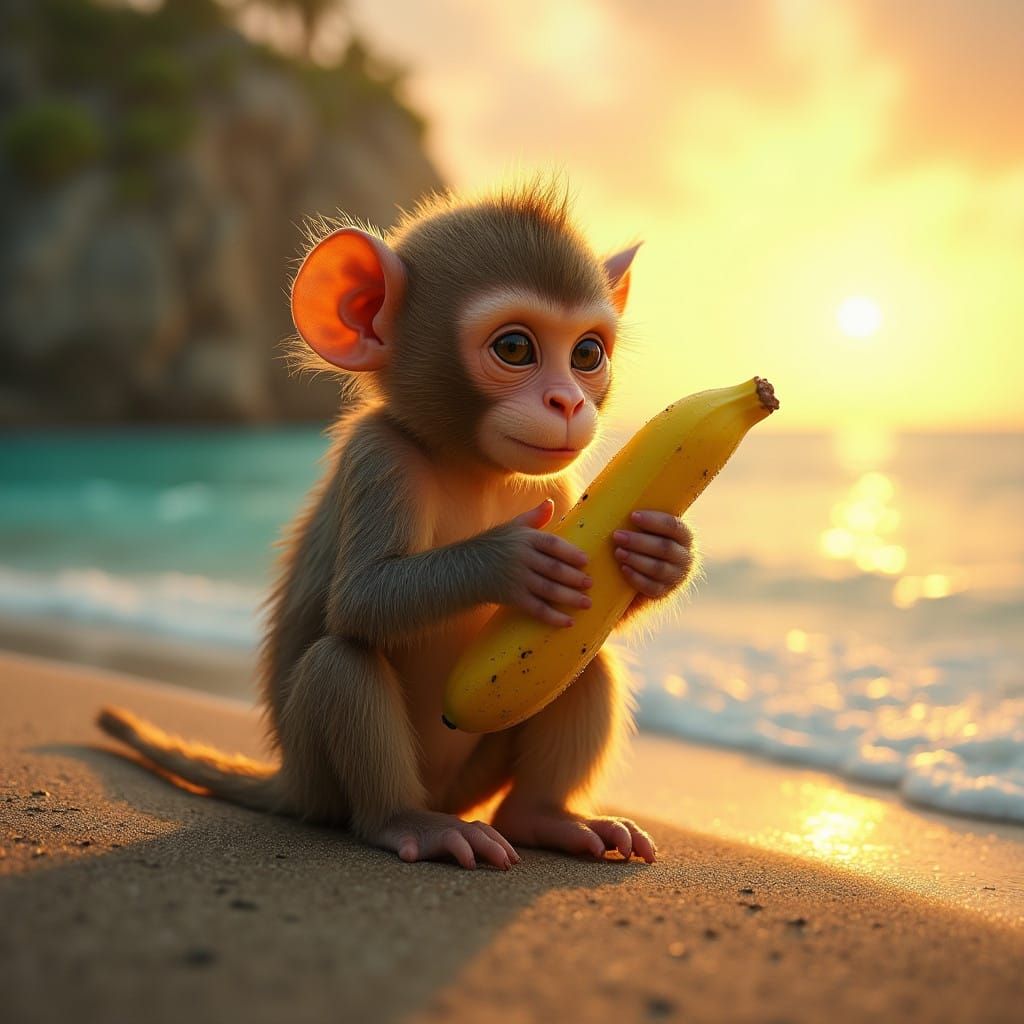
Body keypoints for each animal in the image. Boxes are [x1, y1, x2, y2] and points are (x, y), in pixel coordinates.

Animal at [98, 180, 696, 870]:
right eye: (515, 348)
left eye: (587, 354)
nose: (569, 401)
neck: (475, 469)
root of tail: (290, 781)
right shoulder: (379, 457)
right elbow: (361, 599)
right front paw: (512, 559)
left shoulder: (560, 486)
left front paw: (660, 556)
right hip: (325, 775)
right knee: (342, 662)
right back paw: (405, 822)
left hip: (476, 768)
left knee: (587, 660)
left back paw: (545, 817)